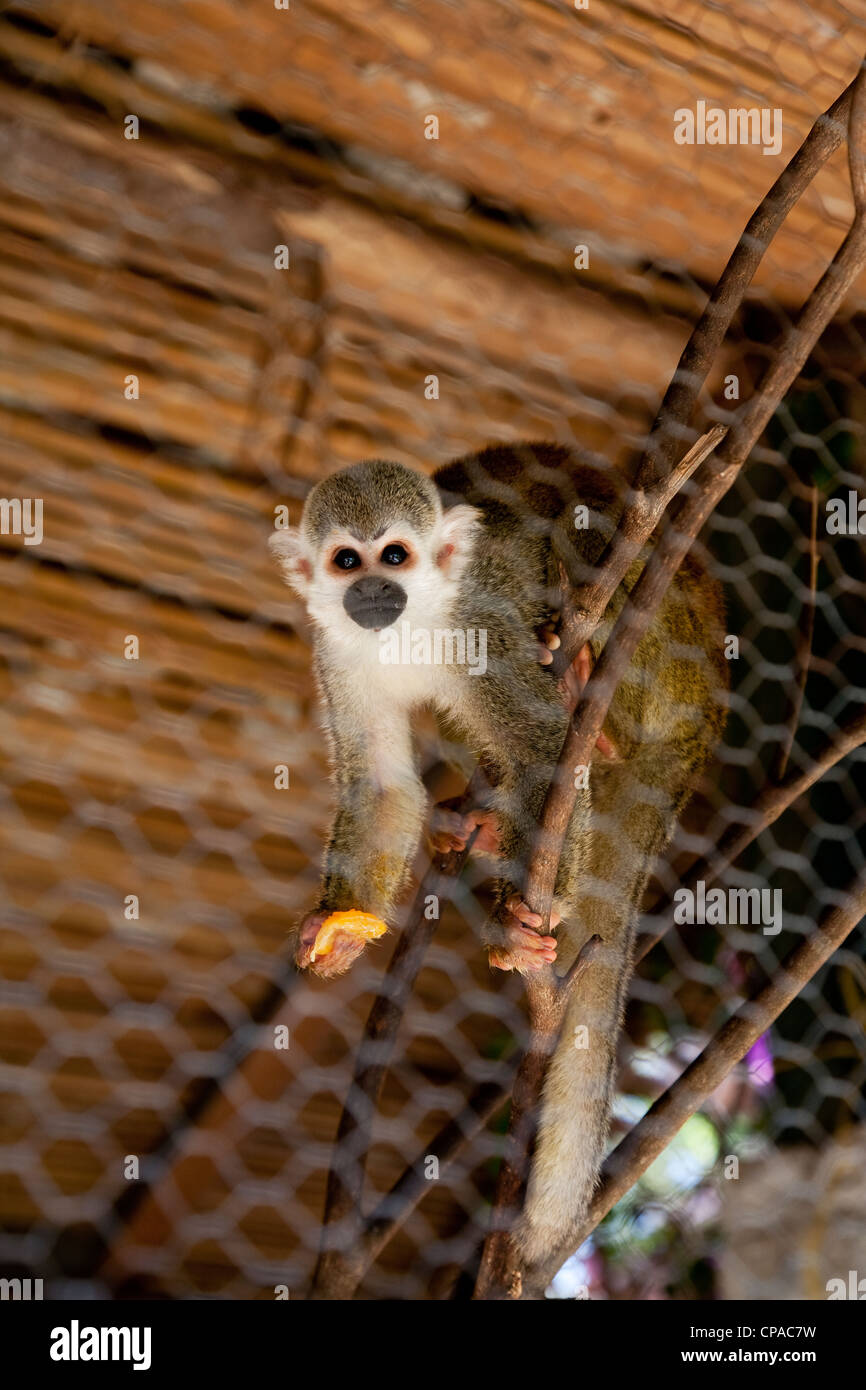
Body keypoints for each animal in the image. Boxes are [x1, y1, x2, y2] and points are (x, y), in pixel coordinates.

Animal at [269, 440, 728, 1264]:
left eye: (395, 554)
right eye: (347, 560)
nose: (376, 589)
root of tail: (708, 708)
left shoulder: (479, 617)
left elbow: (542, 749)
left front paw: (516, 928)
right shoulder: (335, 653)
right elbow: (383, 787)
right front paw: (338, 923)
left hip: (667, 665)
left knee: (582, 545)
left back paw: (588, 694)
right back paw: (475, 824)